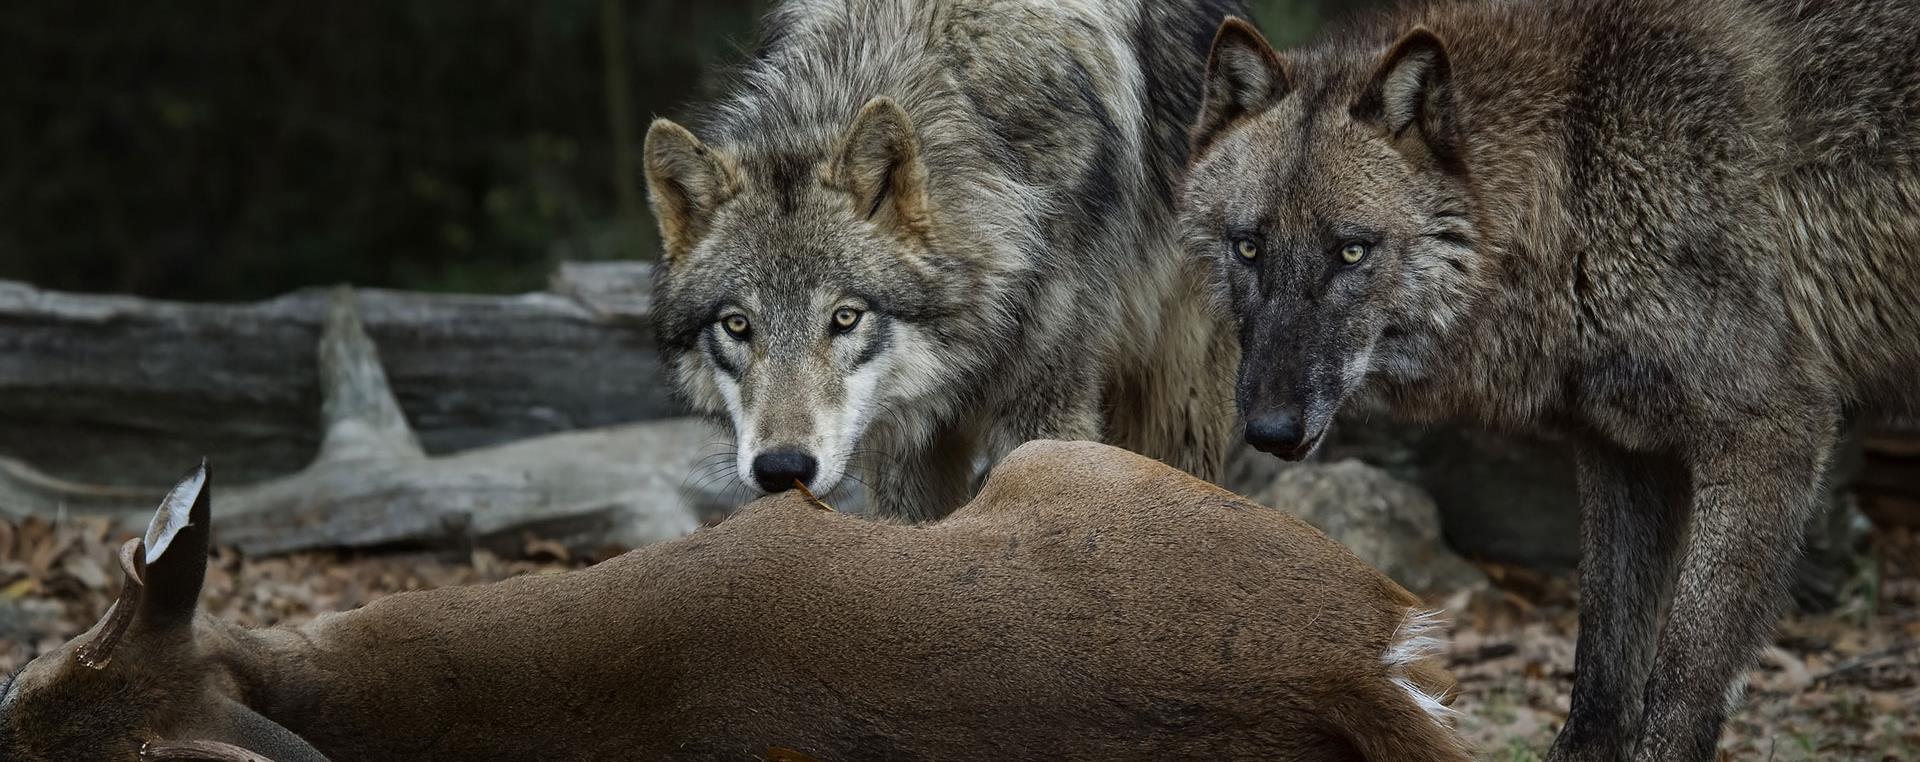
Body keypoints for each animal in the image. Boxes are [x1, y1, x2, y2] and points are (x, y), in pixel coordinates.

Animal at [643, 0, 1244, 520]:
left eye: (846, 317)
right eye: (736, 325)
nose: (781, 467)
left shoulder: (1047, 412)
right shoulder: (901, 445)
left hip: (1178, 392)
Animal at [1180, 1, 1920, 760]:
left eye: (1351, 251)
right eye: (1248, 247)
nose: (1269, 430)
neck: (1578, 170)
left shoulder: (1770, 431)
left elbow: (1682, 681)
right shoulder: (1622, 451)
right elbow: (1601, 672)